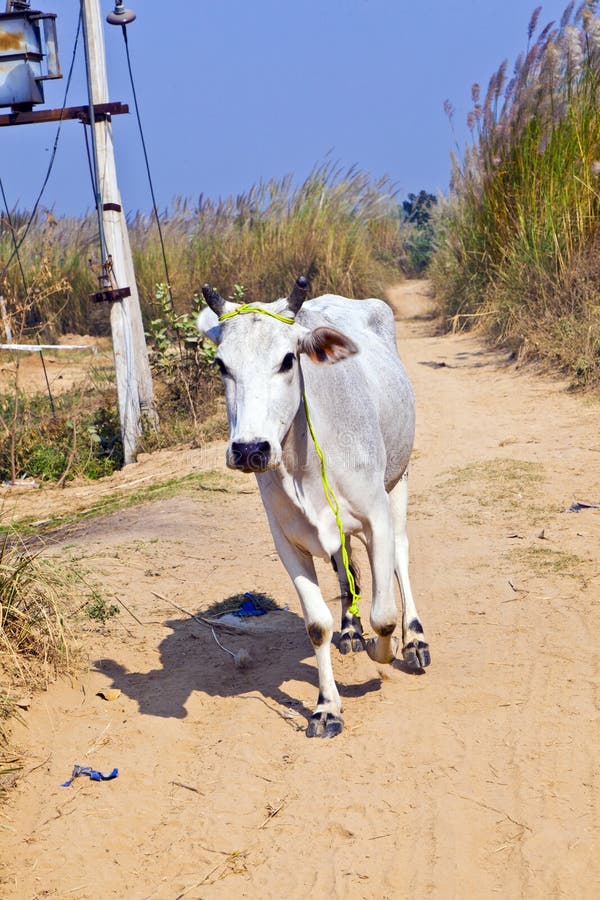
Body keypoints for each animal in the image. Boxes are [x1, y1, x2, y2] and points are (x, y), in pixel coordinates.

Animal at [198, 276, 430, 738]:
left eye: (288, 360)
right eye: (221, 365)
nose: (250, 449)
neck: (303, 467)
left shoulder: (376, 516)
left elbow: (383, 614)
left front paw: (386, 648)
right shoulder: (288, 541)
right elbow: (317, 625)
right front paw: (327, 707)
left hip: (400, 479)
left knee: (400, 556)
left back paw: (413, 638)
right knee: (344, 562)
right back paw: (350, 629)